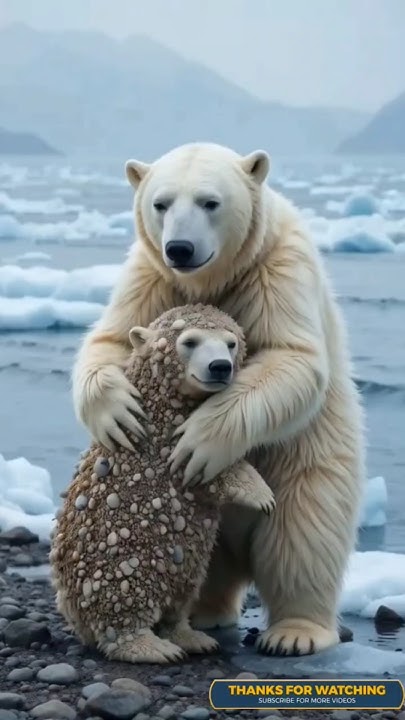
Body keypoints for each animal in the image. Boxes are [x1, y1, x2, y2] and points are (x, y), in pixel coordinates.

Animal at [52, 304, 276, 663]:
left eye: (230, 343)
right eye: (190, 341)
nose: (220, 366)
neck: (159, 401)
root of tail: (75, 616)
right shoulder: (161, 442)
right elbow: (211, 474)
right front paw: (262, 495)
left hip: (181, 569)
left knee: (180, 596)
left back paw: (190, 637)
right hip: (117, 566)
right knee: (125, 602)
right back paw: (152, 647)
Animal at [71, 141, 365, 657]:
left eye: (210, 202)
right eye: (160, 203)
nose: (180, 248)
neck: (212, 279)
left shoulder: (278, 268)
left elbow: (293, 358)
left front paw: (198, 444)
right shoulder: (151, 275)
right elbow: (112, 340)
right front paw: (120, 416)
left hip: (310, 451)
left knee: (305, 529)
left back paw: (296, 632)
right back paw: (202, 615)